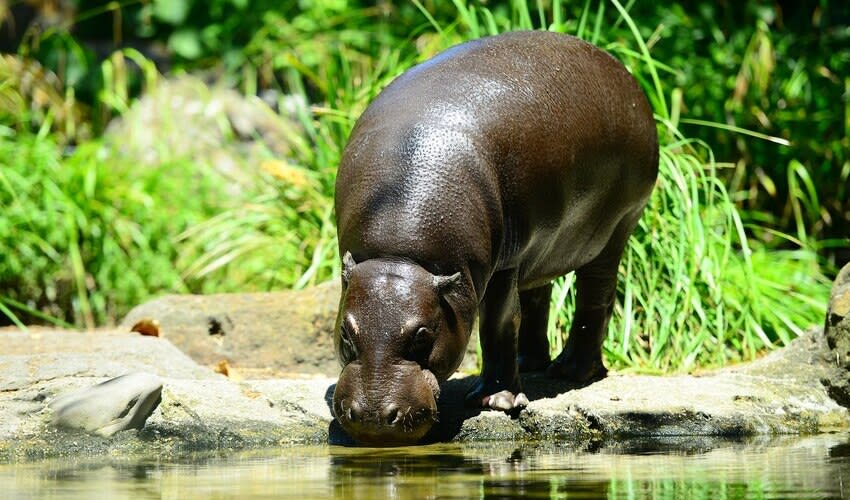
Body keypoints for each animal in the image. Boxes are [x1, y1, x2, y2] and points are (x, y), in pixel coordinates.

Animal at [332, 31, 658, 446]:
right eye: (345, 332)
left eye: (422, 336)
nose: (373, 419)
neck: (400, 255)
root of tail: (623, 73)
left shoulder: (505, 263)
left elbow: (500, 323)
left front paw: (498, 402)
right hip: (543, 244)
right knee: (538, 296)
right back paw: (530, 363)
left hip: (617, 227)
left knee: (595, 296)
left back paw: (570, 371)